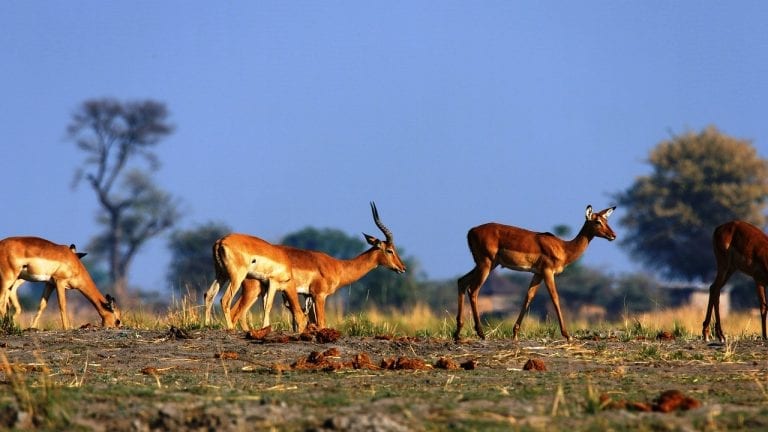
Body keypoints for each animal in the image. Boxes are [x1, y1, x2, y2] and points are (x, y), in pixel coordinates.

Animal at [203, 202, 407, 330]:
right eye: (390, 250)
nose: (402, 268)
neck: (338, 267)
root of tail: (220, 241)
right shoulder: (319, 296)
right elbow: (321, 322)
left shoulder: (307, 296)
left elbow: (307, 320)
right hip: (249, 288)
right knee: (231, 307)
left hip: (232, 281)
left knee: (214, 298)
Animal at [455, 205, 616, 341]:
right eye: (597, 221)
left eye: (606, 220)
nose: (613, 235)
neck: (564, 248)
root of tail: (471, 231)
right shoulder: (547, 272)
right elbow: (555, 298)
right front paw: (567, 335)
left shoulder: (537, 274)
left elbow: (528, 297)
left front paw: (515, 333)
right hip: (486, 265)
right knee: (473, 290)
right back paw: (481, 333)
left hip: (488, 264)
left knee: (461, 281)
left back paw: (457, 333)